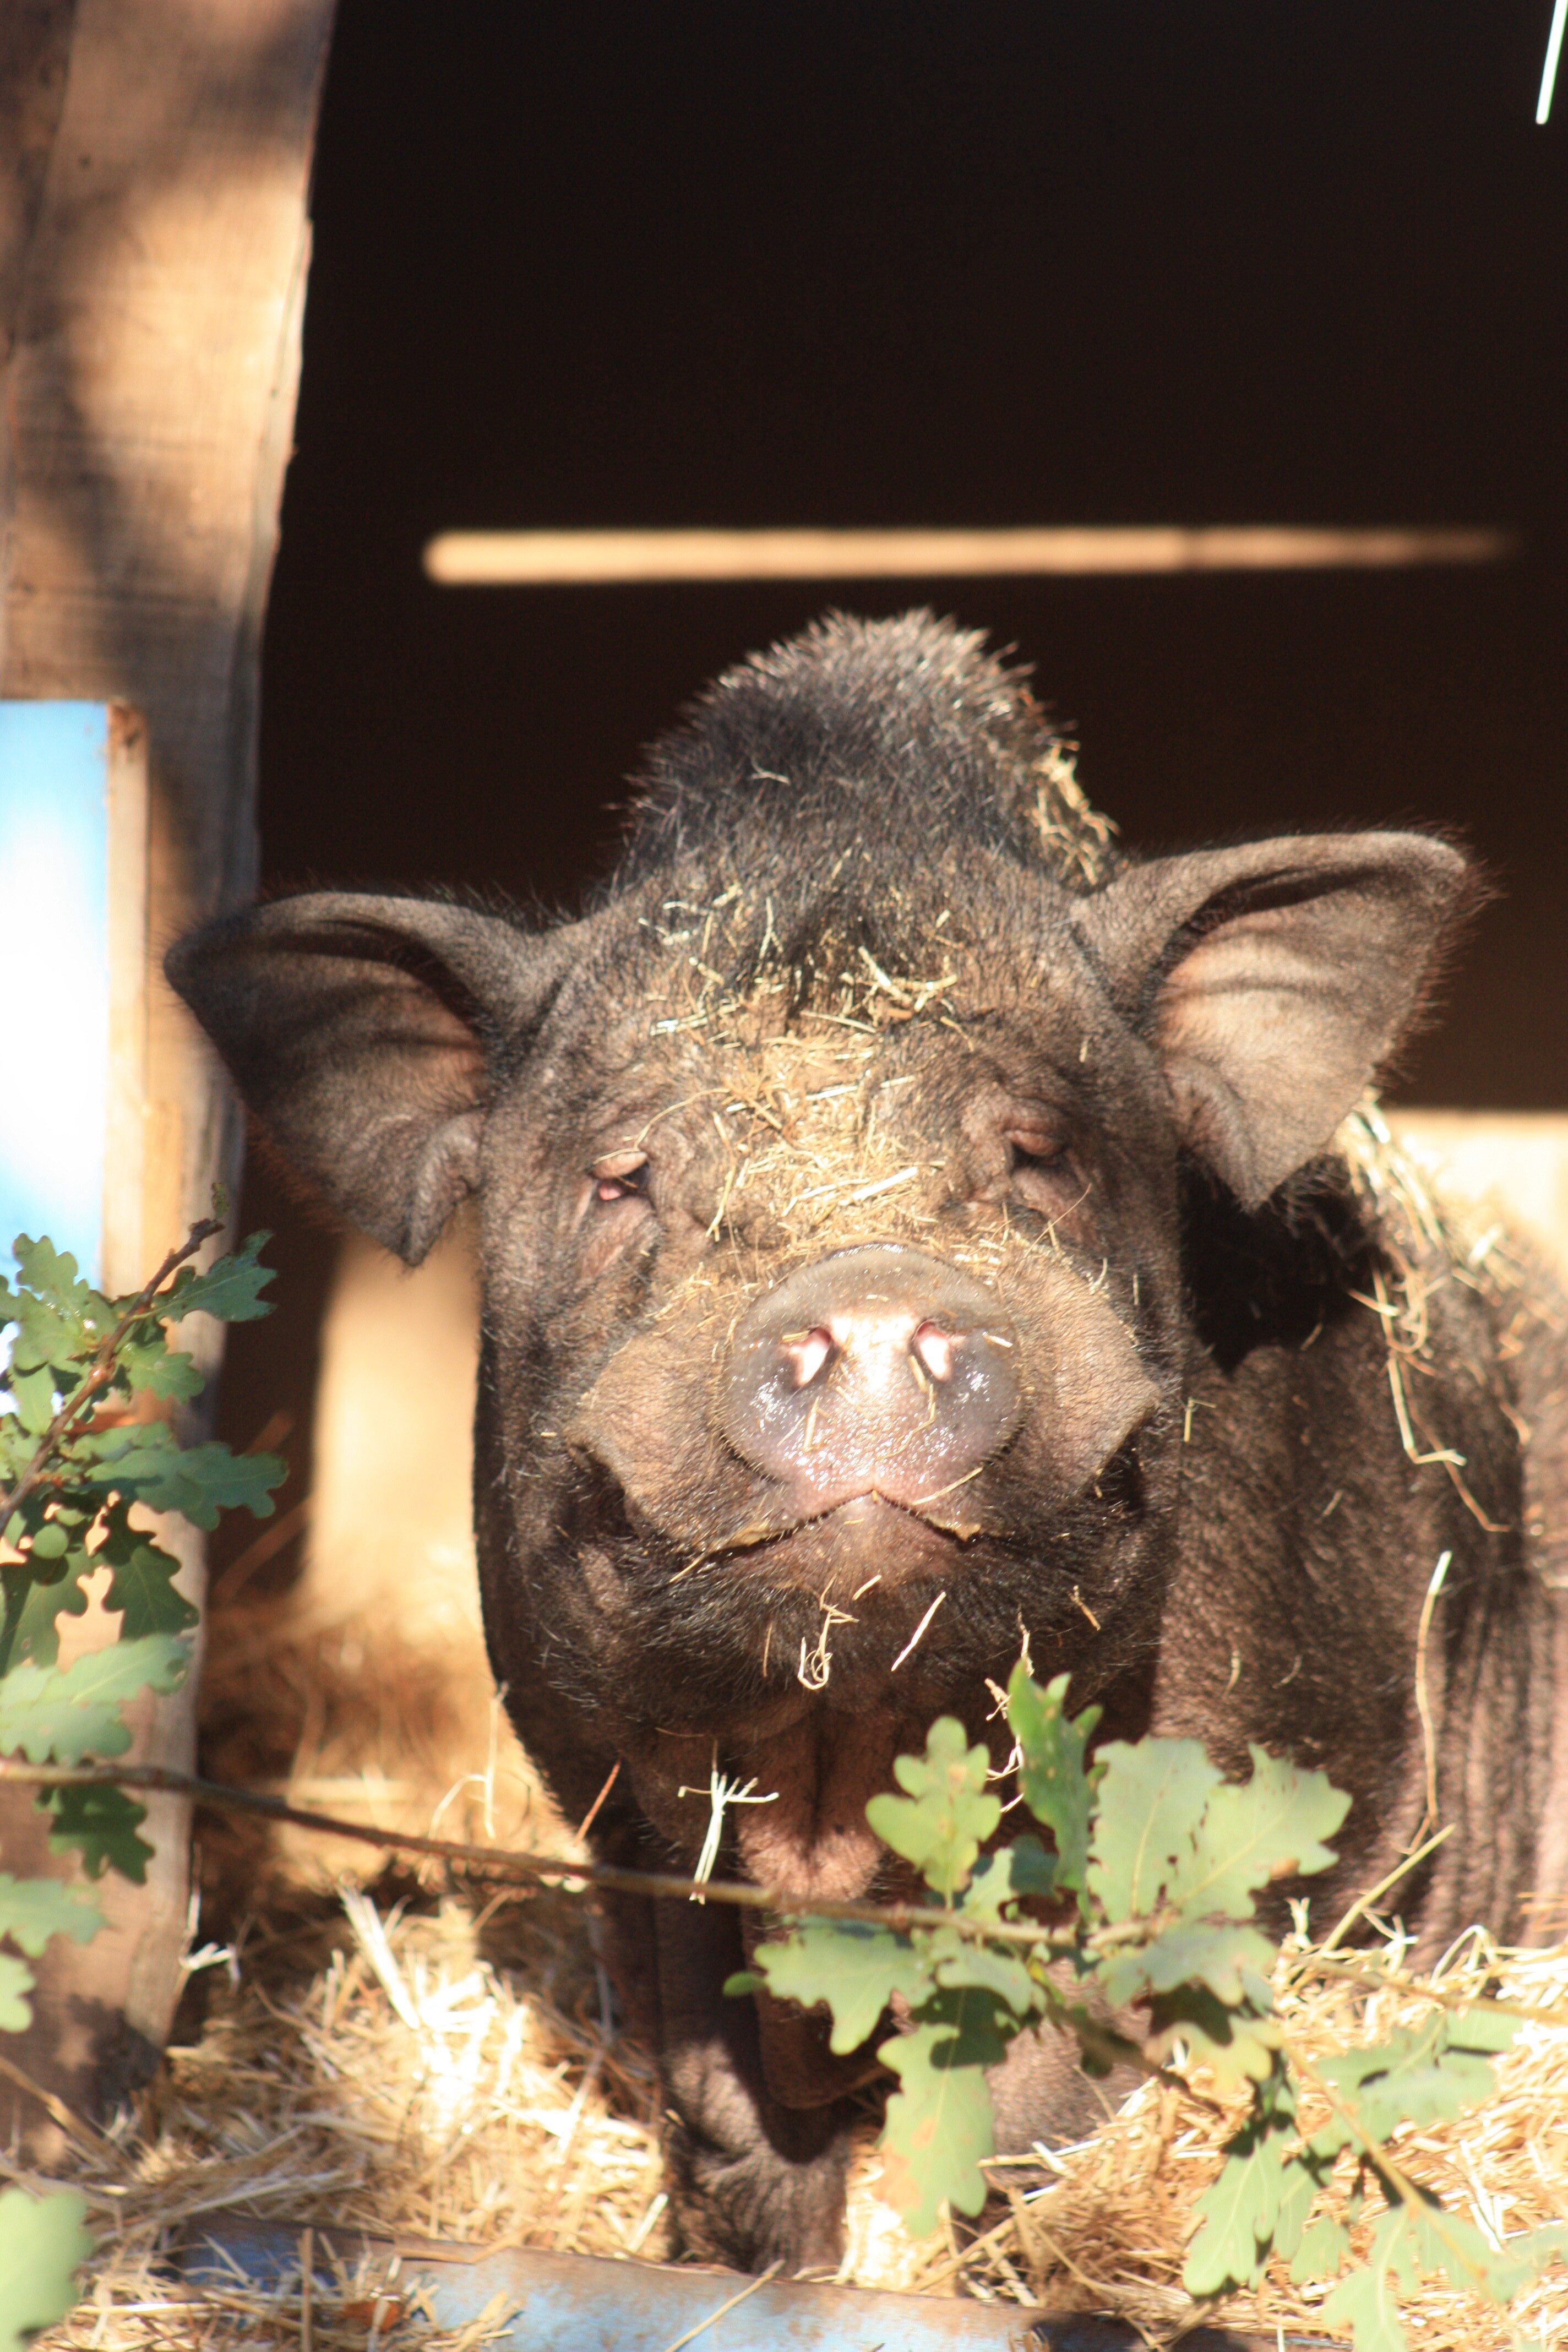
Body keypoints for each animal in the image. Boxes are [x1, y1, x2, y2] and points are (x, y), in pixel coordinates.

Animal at [169, 610, 1568, 2274]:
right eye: (621, 1177)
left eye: (1040, 1155)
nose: (872, 1290)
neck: (844, 1794)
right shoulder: (606, 1806)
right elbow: (714, 2079)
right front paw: (772, 2255)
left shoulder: (1326, 1780)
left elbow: (1057, 2077)